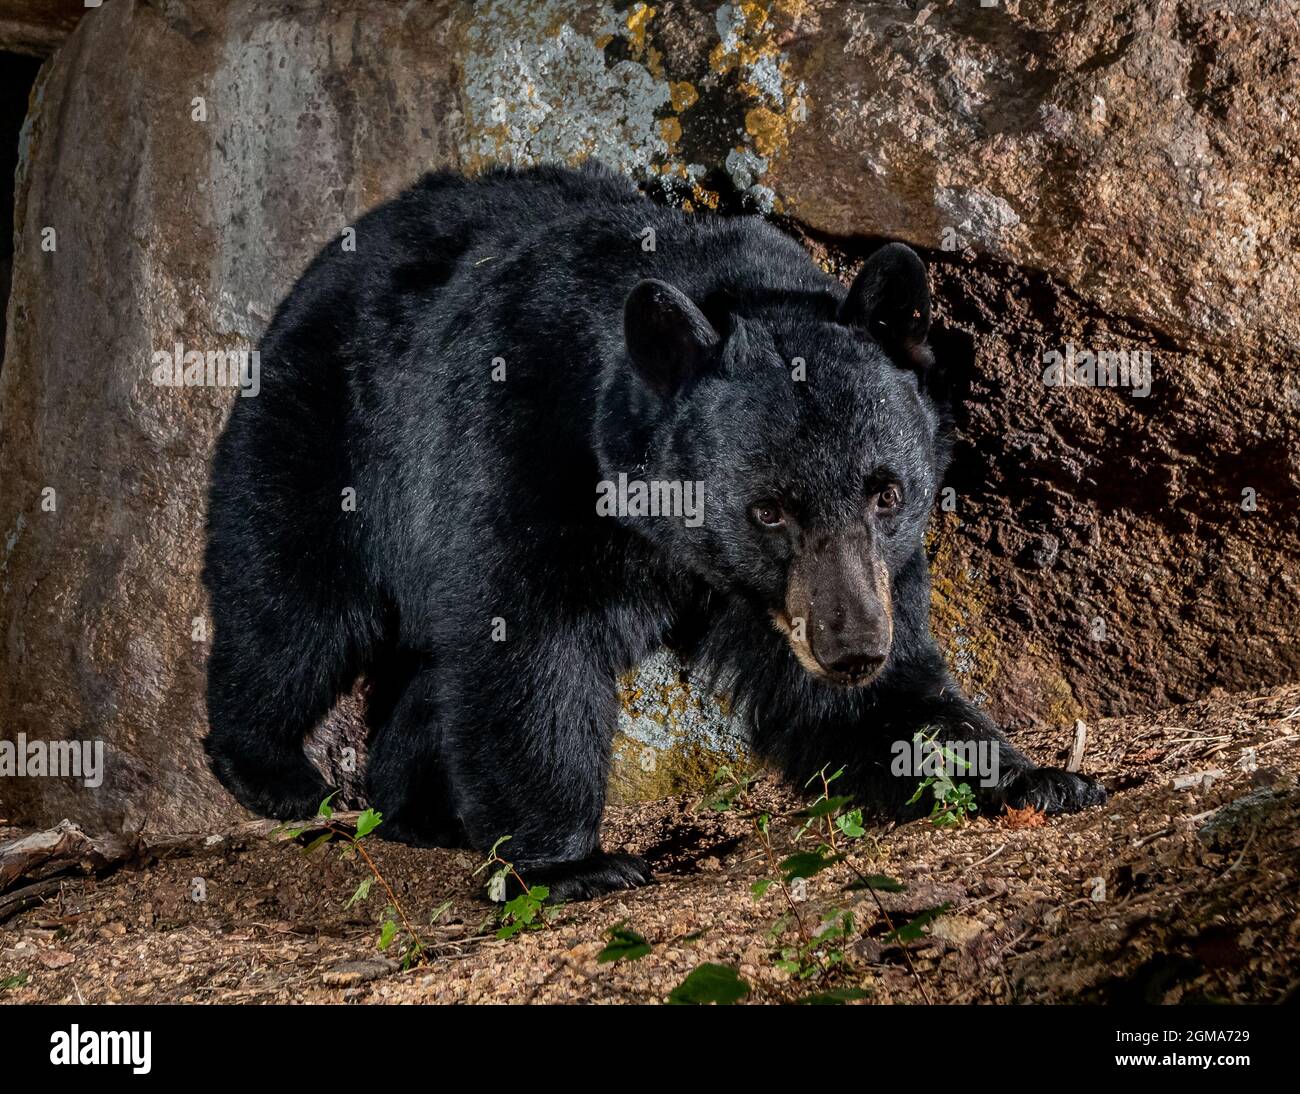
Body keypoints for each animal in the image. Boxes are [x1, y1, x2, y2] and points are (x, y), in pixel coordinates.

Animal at [202, 161, 1106, 902]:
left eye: (886, 492)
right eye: (768, 508)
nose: (852, 648)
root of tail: (329, 258)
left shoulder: (842, 579)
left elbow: (875, 699)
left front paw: (1033, 778)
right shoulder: (526, 442)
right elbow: (533, 644)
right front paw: (574, 863)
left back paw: (425, 809)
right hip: (331, 433)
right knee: (293, 600)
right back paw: (274, 769)